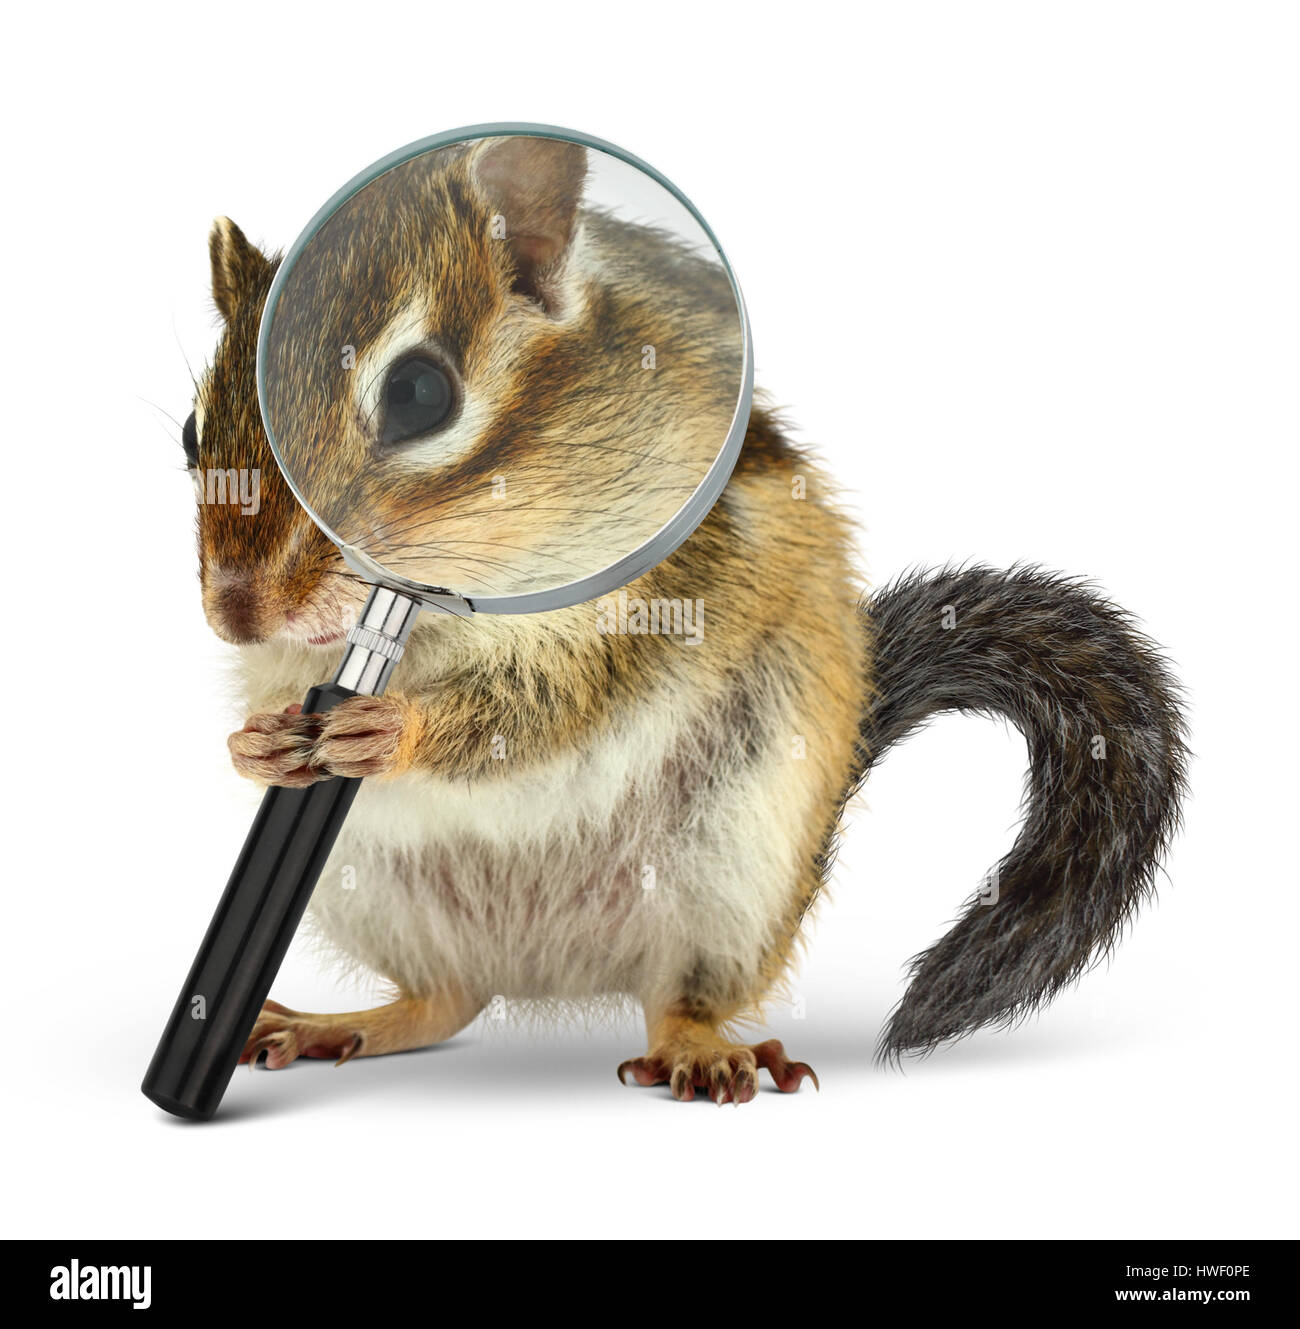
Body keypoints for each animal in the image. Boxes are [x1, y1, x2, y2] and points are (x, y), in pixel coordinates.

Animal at [182, 136, 1188, 1104]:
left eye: (420, 394)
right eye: (195, 432)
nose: (235, 611)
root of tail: (548, 970)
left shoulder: (666, 594)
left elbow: (545, 707)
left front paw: (390, 723)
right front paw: (256, 742)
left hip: (733, 882)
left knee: (678, 998)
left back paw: (702, 1053)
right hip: (376, 894)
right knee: (444, 998)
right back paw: (328, 1023)